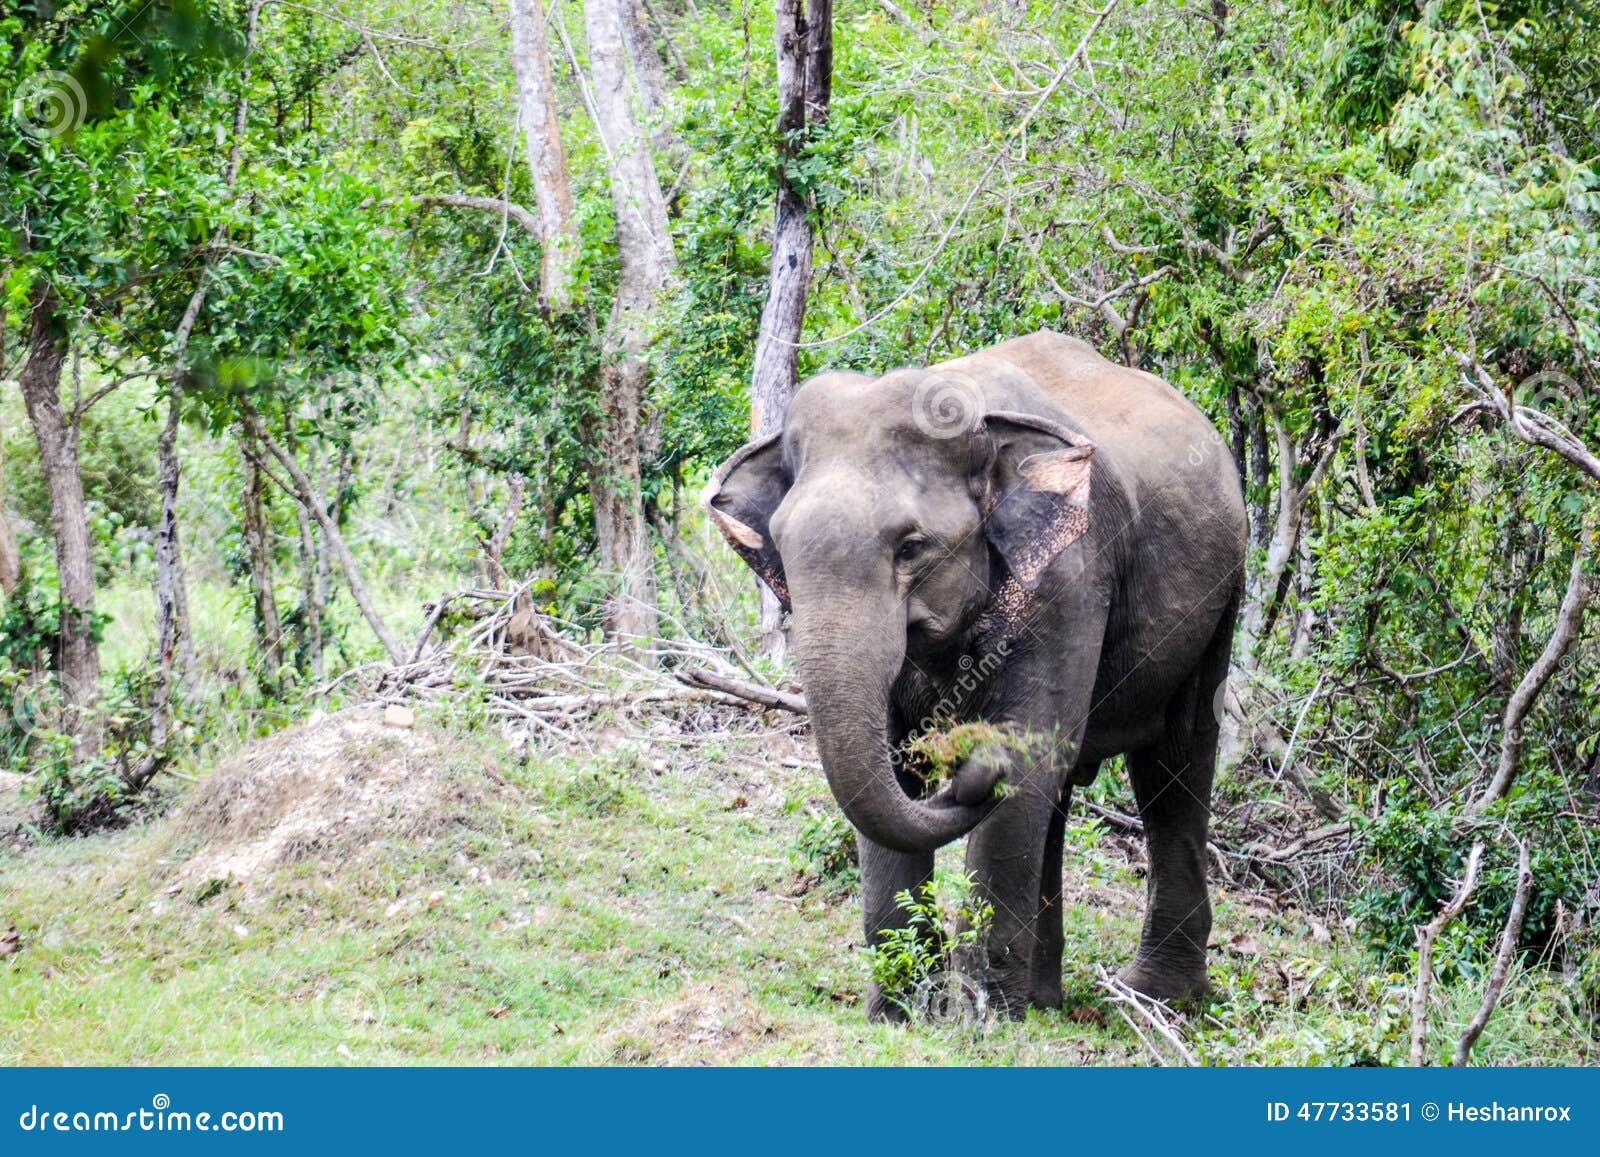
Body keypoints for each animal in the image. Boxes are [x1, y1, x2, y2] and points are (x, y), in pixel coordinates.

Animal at [703, 330, 1246, 1020]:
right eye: (783, 547)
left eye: (911, 547)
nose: (966, 757)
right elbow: (897, 767)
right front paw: (901, 1013)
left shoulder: (1070, 576)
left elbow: (1028, 755)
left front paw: (977, 1019)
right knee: (1066, 795)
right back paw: (1043, 1001)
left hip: (1223, 595)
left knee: (1172, 769)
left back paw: (1154, 996)